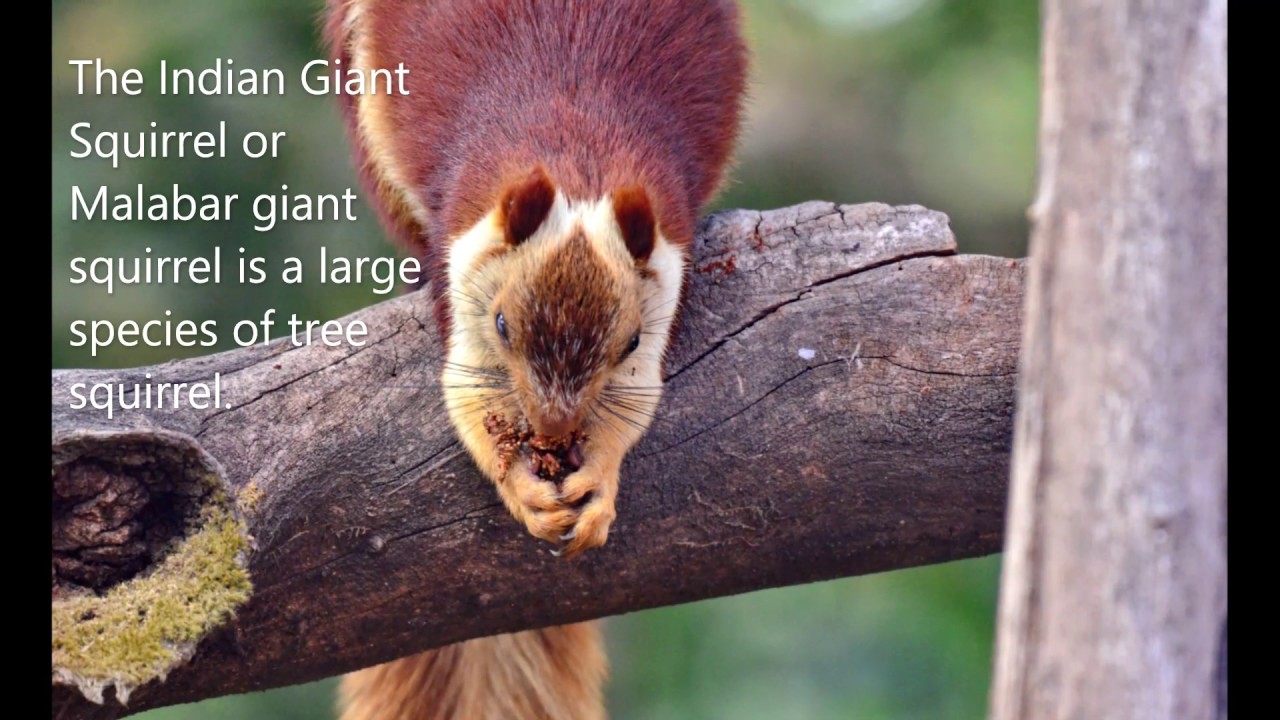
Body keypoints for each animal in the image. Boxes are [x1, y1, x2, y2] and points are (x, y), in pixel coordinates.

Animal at [323, 0, 747, 717]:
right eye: (501, 324)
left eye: (631, 342)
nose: (551, 430)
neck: (578, 152)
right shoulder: (462, 278)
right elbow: (466, 392)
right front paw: (519, 488)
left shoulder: (666, 284)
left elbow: (636, 401)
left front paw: (599, 479)